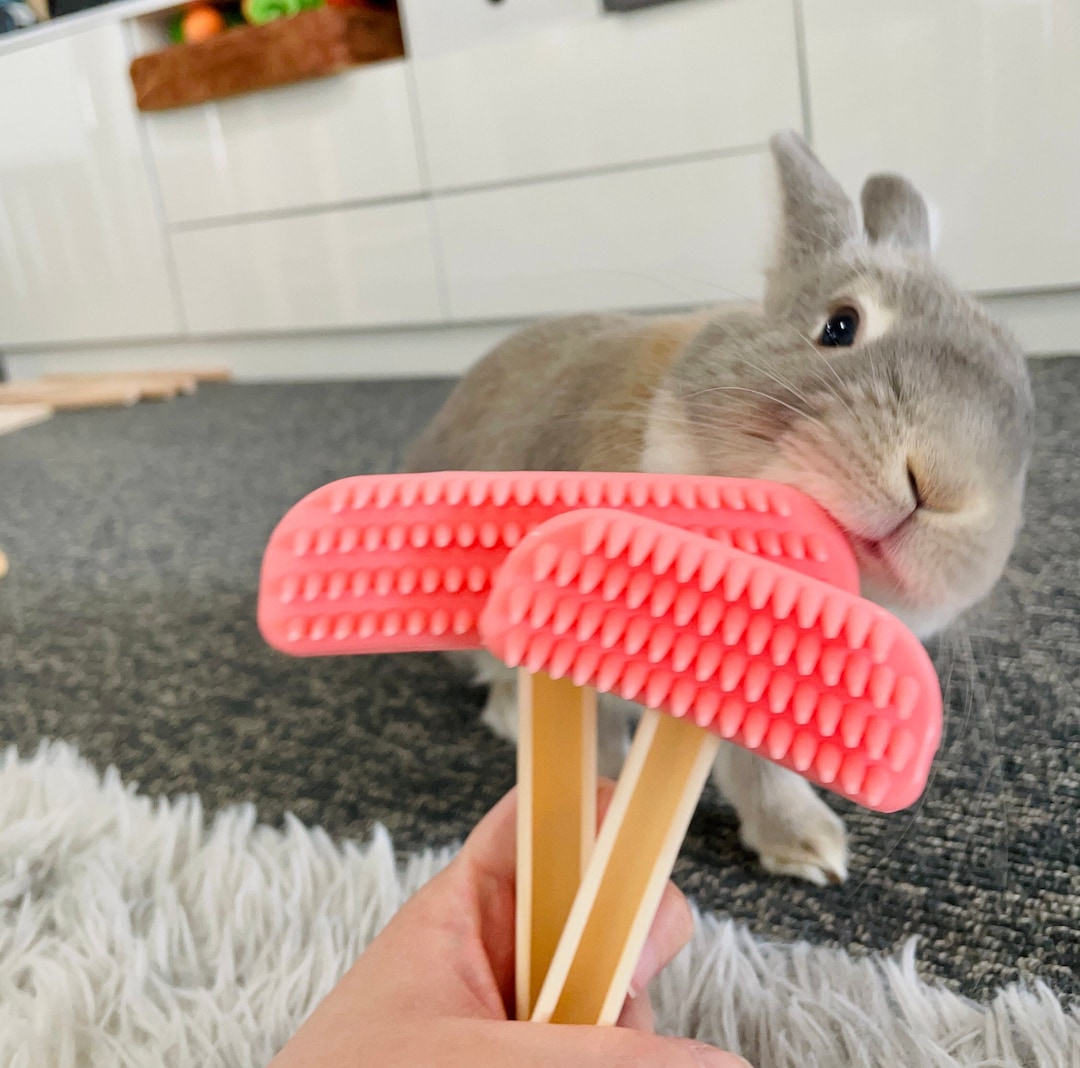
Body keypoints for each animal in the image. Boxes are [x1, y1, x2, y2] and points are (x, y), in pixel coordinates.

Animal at [404, 130, 1035, 886]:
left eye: (1022, 399)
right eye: (840, 325)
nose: (940, 485)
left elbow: (756, 768)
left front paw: (805, 847)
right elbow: (594, 750)